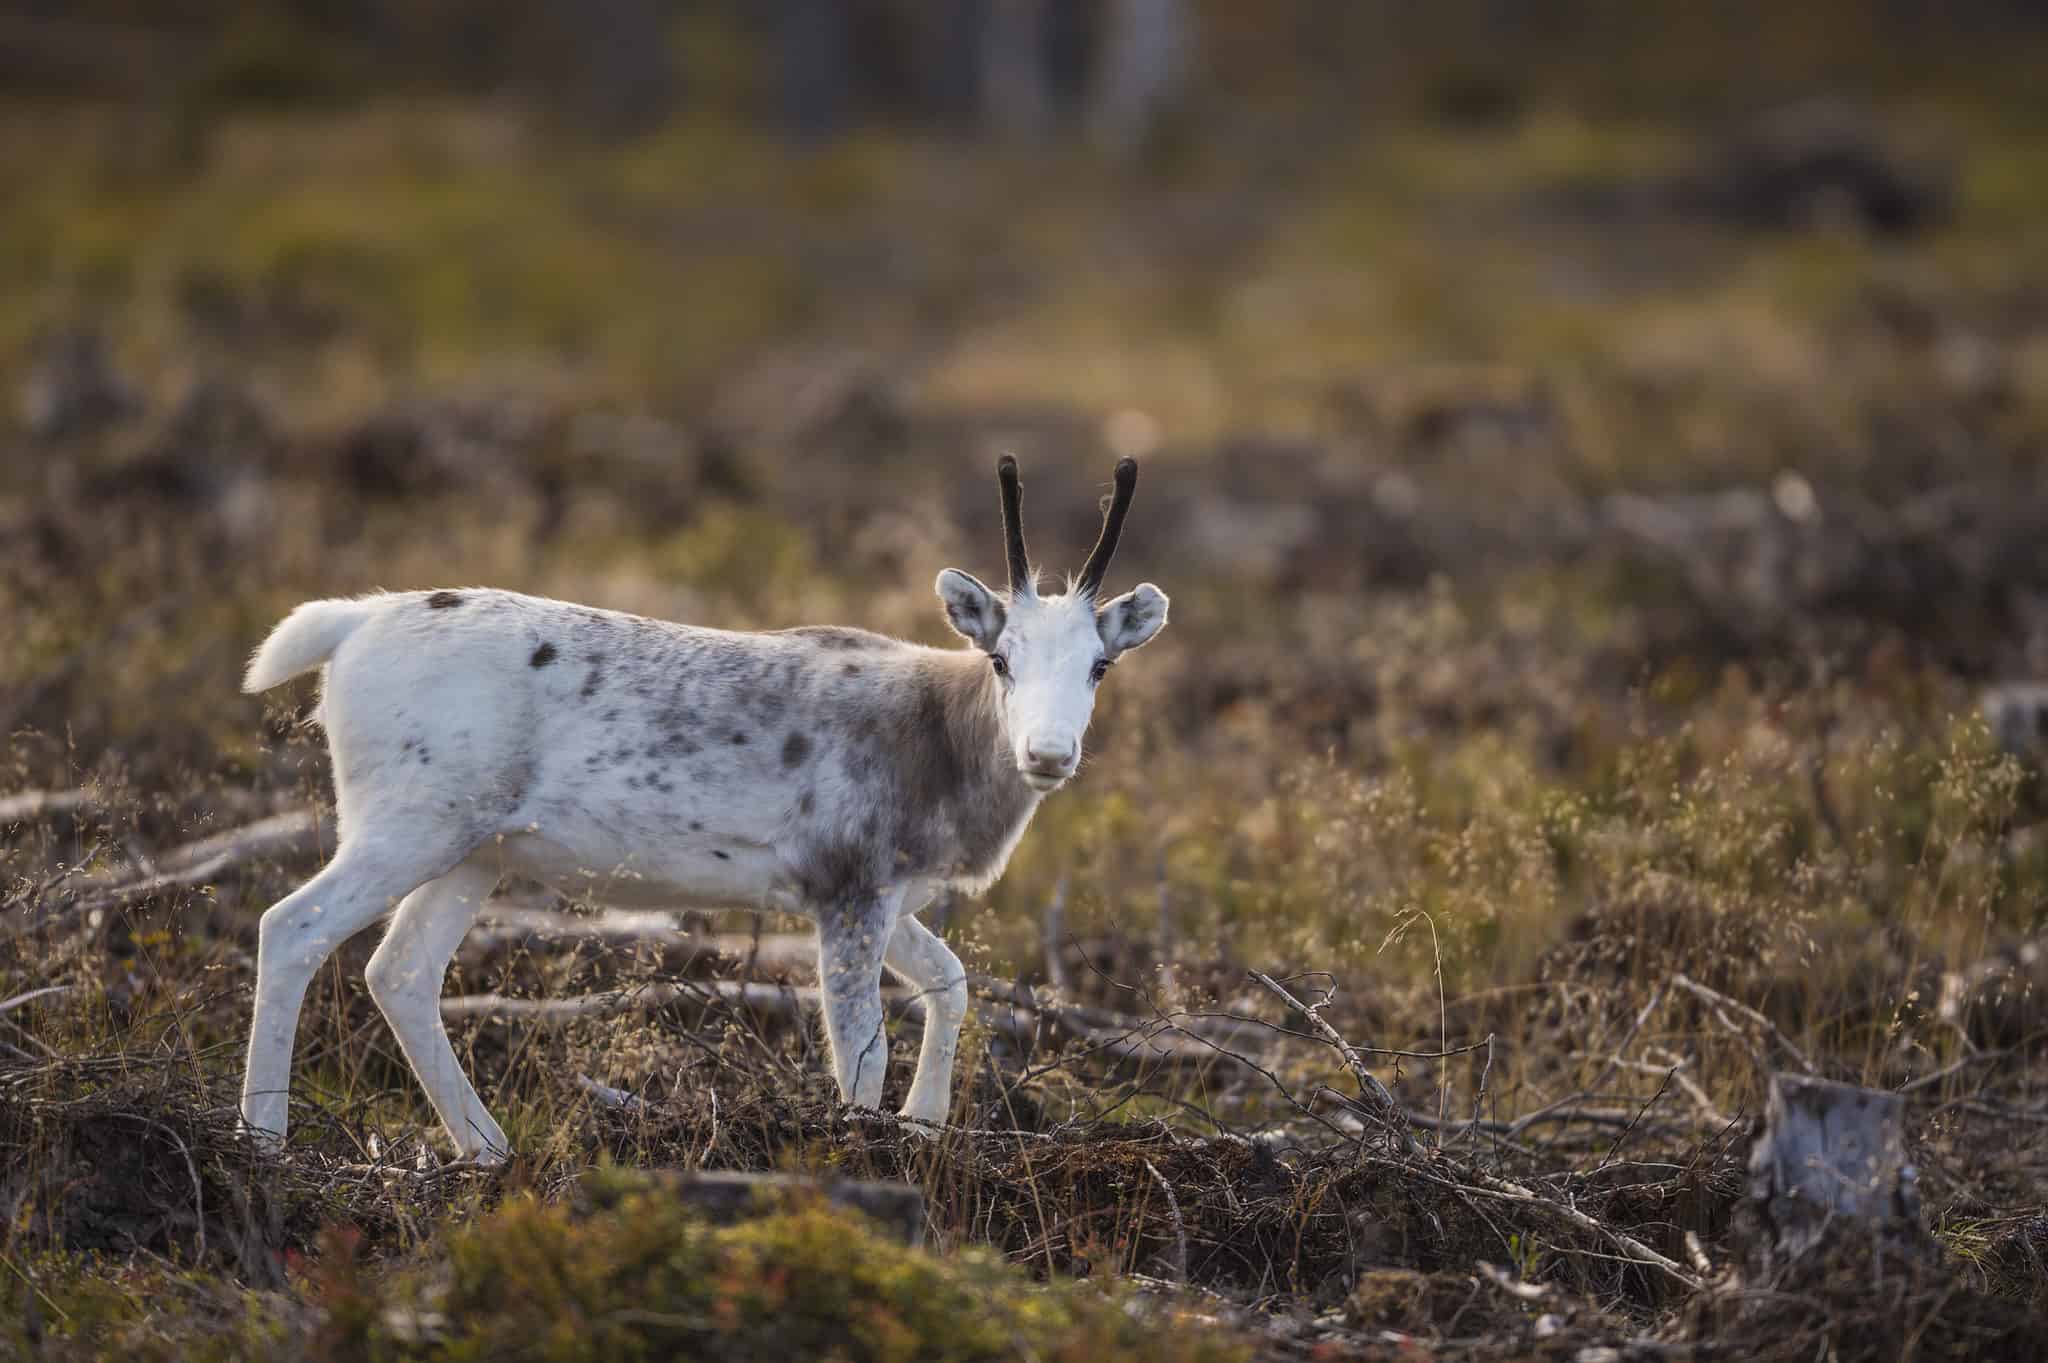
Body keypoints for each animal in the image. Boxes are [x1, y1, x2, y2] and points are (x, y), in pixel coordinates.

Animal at [237, 456, 1168, 1162]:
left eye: (1099, 666)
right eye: (1002, 657)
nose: (1048, 753)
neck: (942, 734)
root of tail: (355, 621)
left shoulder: (880, 895)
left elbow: (952, 980)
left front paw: (925, 1122)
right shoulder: (850, 889)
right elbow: (861, 1052)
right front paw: (873, 1142)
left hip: (475, 852)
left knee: (399, 970)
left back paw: (488, 1148)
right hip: (408, 827)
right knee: (292, 926)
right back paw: (264, 1140)